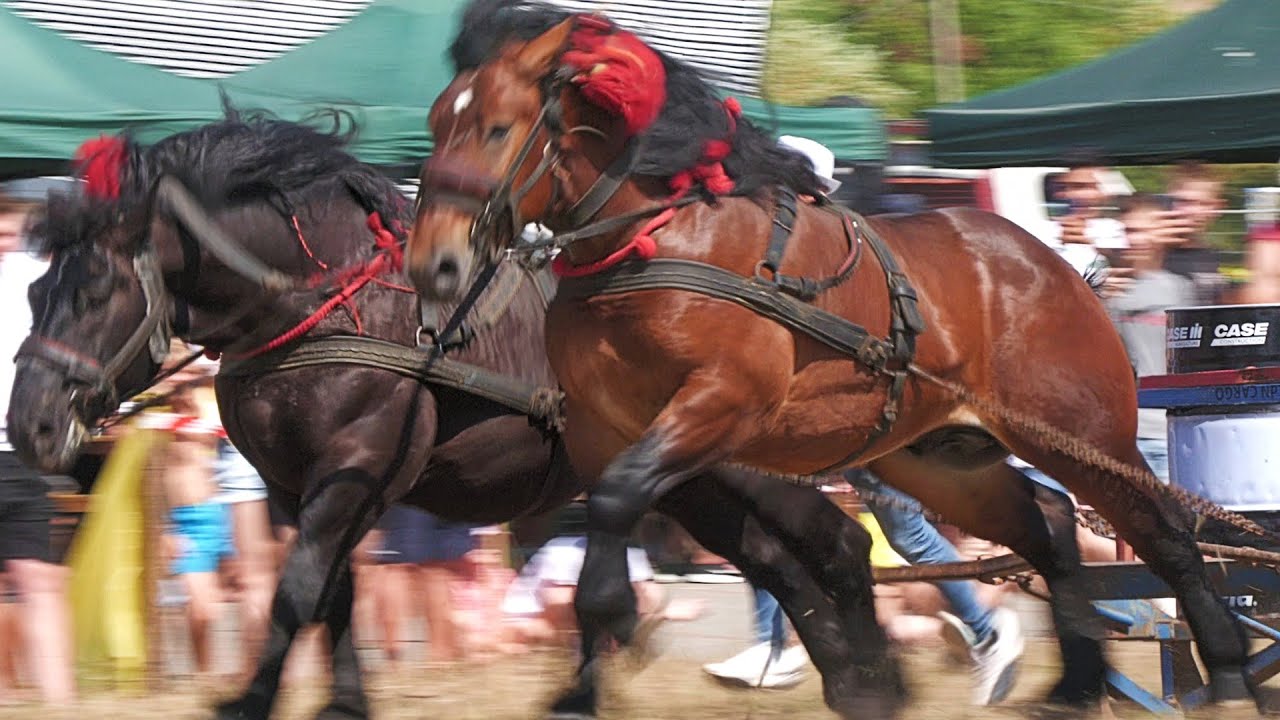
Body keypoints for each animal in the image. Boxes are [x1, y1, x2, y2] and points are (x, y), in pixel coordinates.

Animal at [7, 108, 897, 720]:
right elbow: (333, 596)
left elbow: (296, 592)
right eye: (33, 287)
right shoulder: (302, 490)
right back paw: (841, 677)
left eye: (94, 290)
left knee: (835, 543)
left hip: (737, 463)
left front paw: (254, 699)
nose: (32, 426)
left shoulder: (356, 465)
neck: (330, 302)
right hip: (688, 481)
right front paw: (344, 702)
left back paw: (869, 674)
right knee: (774, 561)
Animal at [404, 2, 1261, 717]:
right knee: (1048, 526)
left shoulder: (719, 403)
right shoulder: (601, 431)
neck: (655, 248)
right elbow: (643, 520)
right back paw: (1075, 683)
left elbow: (617, 505)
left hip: (1079, 434)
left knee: (1166, 534)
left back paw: (1225, 671)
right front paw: (584, 682)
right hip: (942, 459)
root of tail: (1056, 265)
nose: (434, 266)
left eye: (495, 128)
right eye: (437, 125)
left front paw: (615, 622)